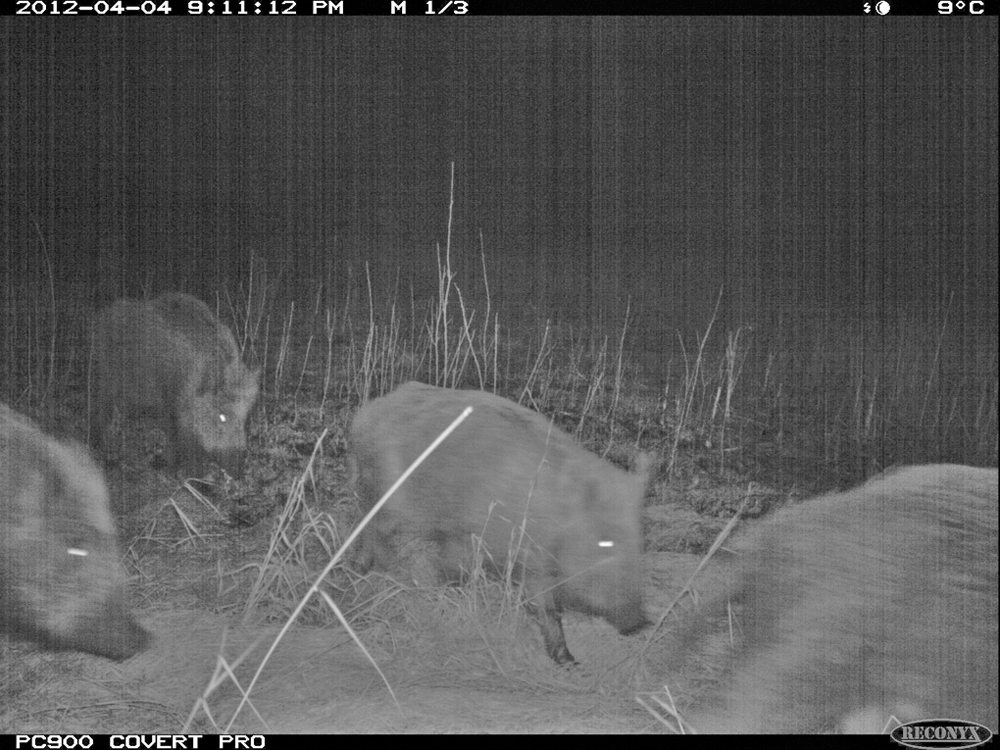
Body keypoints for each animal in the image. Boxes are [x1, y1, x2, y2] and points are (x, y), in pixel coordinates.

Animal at [90, 292, 260, 477]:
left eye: (246, 416)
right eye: (222, 416)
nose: (239, 472)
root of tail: (103, 316)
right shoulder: (170, 403)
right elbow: (176, 435)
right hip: (103, 378)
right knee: (101, 410)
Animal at [349, 381, 654, 664]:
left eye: (640, 541)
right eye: (606, 542)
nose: (641, 623)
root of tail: (366, 414)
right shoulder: (525, 557)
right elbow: (546, 608)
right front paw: (570, 662)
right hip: (391, 500)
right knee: (387, 539)